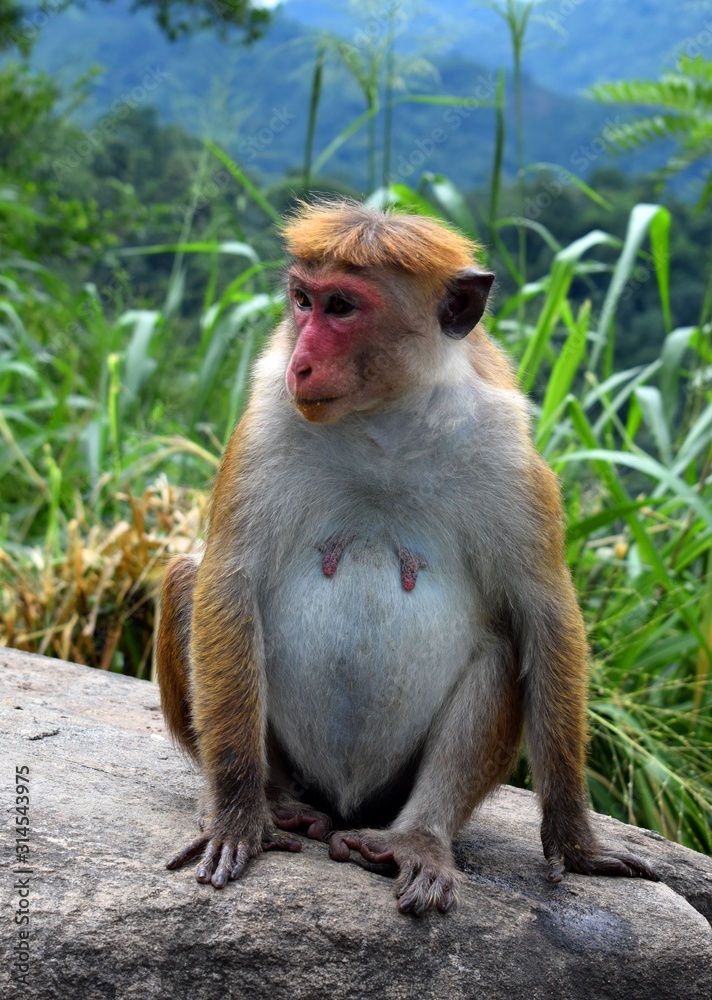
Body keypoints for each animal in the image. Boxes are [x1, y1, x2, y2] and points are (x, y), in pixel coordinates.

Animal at [156, 200, 659, 916]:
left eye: (341, 307)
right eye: (302, 300)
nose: (300, 363)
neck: (385, 425)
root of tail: (344, 806)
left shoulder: (513, 461)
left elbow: (546, 617)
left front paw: (577, 843)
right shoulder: (264, 429)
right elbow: (228, 584)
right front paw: (235, 817)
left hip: (388, 795)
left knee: (505, 645)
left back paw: (416, 838)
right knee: (189, 578)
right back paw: (275, 802)